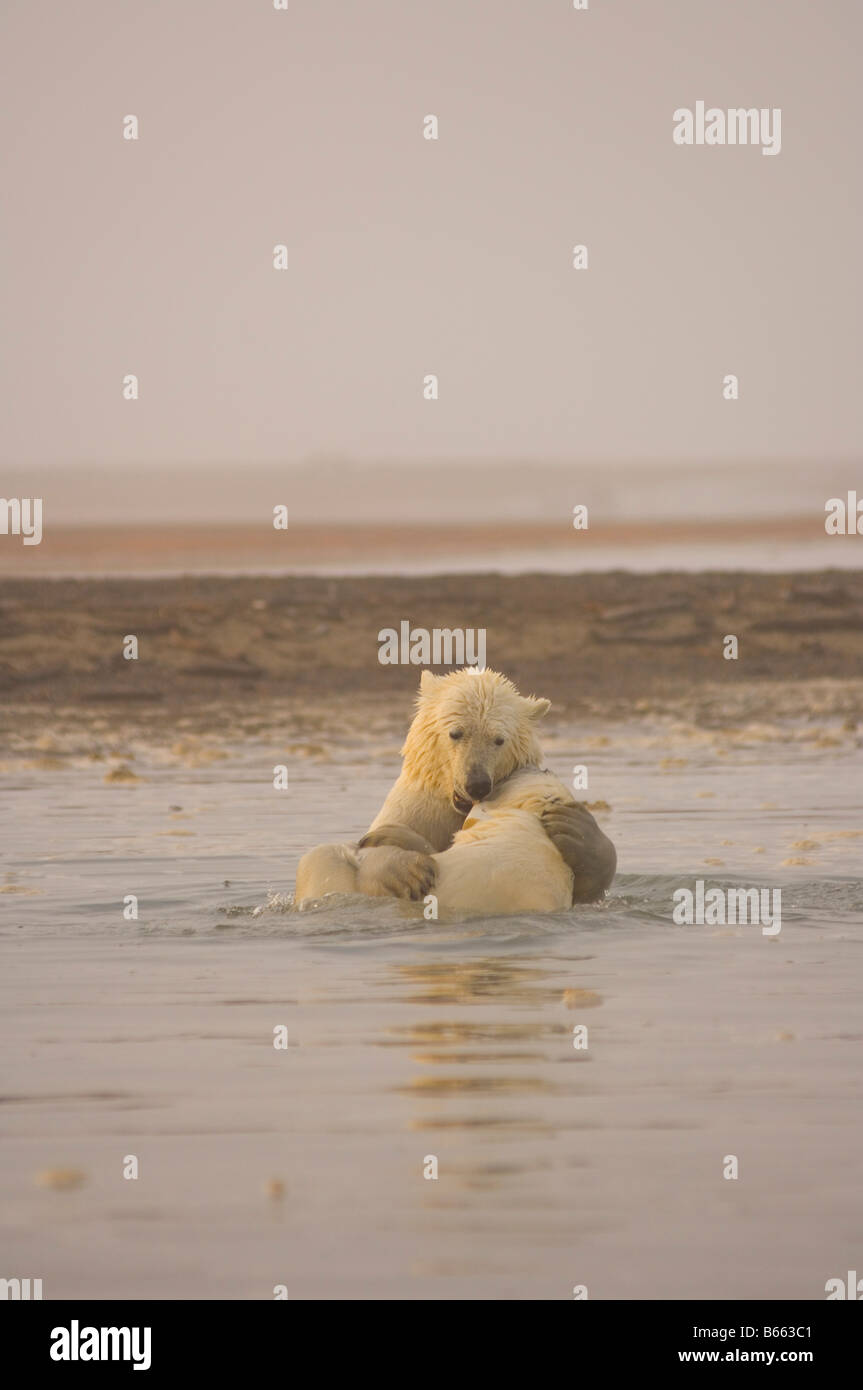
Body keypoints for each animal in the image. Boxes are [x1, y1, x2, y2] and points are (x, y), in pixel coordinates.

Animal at [293, 667, 617, 908]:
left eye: (498, 739)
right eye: (456, 733)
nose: (477, 784)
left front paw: (575, 829)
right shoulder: (415, 811)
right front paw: (407, 870)